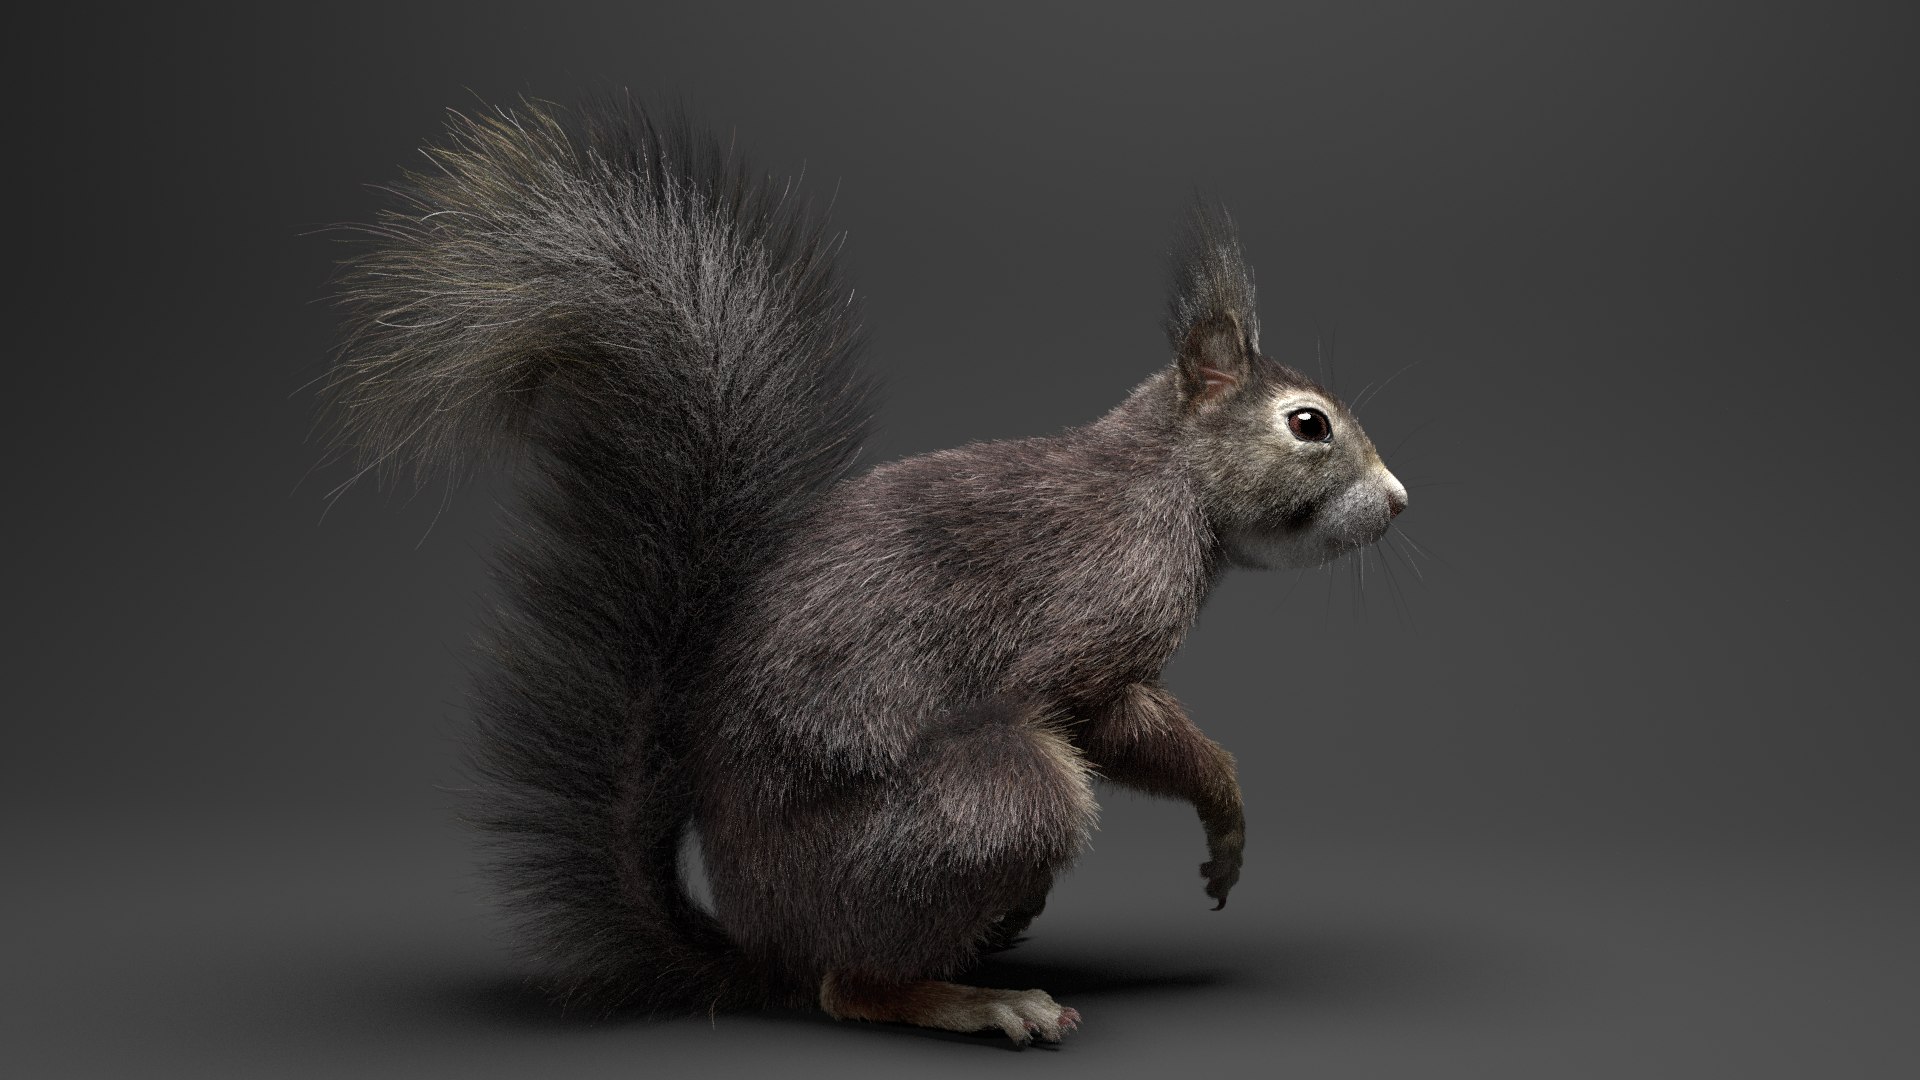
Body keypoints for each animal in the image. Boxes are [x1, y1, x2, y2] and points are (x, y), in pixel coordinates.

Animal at [321, 97, 1408, 1045]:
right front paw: (1225, 812)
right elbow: (1116, 722)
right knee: (855, 985)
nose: (1400, 501)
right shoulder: (1098, 615)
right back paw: (978, 1001)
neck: (1163, 479)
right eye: (1307, 424)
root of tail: (769, 945)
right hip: (987, 807)